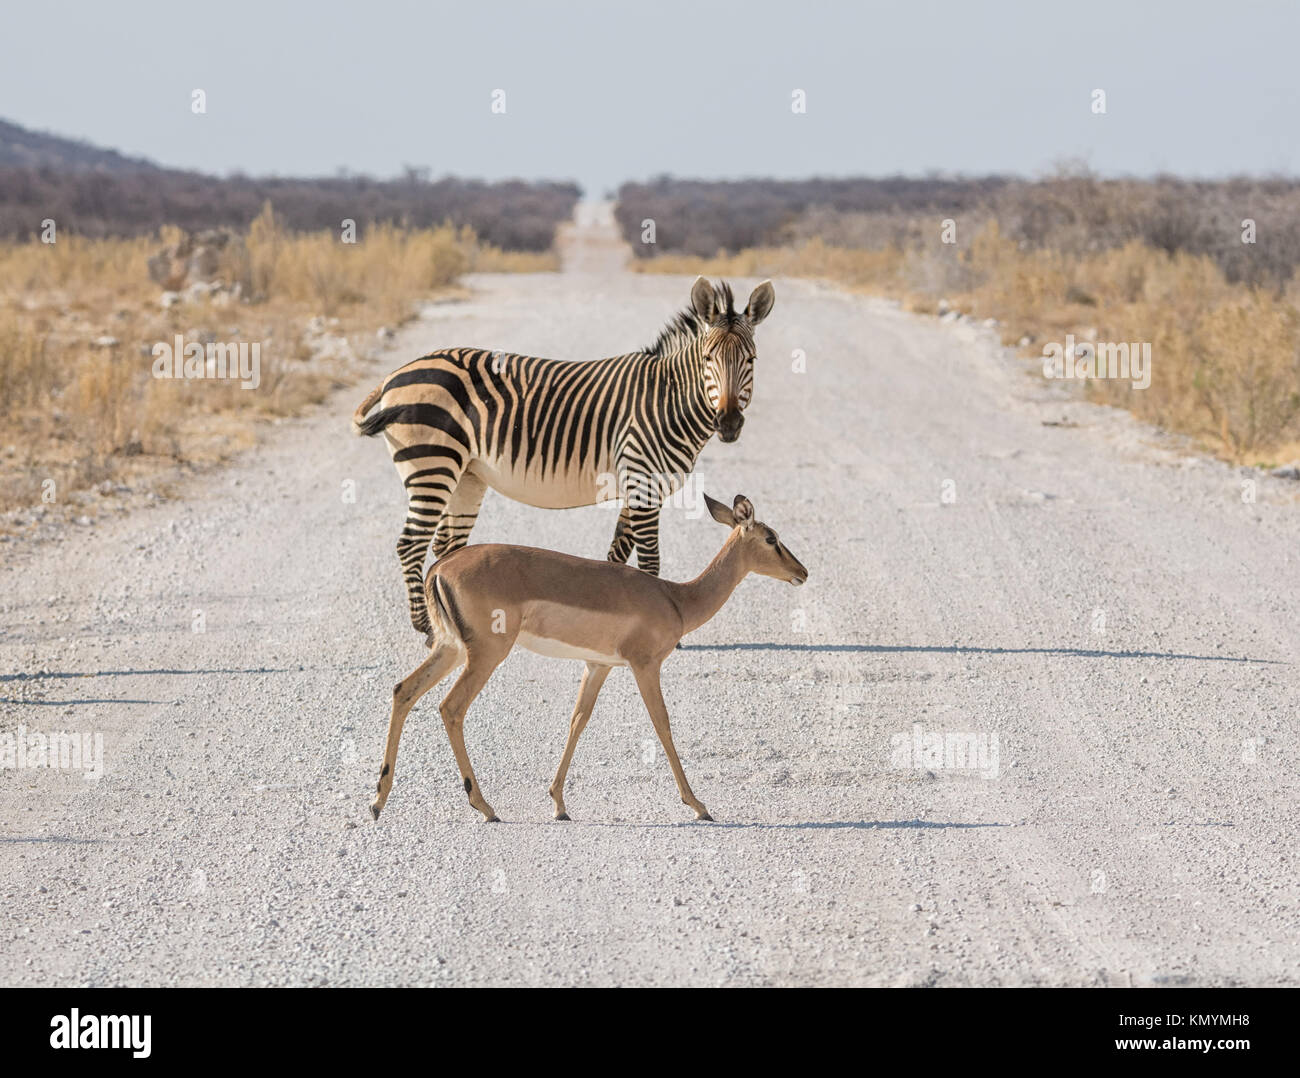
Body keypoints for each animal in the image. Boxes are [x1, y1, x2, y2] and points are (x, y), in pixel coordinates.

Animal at [352, 276, 775, 638]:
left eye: (751, 360)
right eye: (708, 358)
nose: (729, 423)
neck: (667, 401)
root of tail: (397, 372)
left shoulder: (634, 484)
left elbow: (616, 555)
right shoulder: (642, 481)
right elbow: (650, 562)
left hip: (467, 475)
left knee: (445, 545)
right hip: (432, 463)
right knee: (410, 543)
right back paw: (423, 624)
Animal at [370, 494, 808, 824]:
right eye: (771, 537)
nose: (802, 572)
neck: (677, 598)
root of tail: (440, 568)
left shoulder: (597, 666)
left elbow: (578, 721)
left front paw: (559, 805)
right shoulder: (645, 665)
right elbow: (662, 724)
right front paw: (699, 806)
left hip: (450, 648)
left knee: (403, 691)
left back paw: (378, 800)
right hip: (485, 655)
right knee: (450, 707)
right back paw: (485, 807)